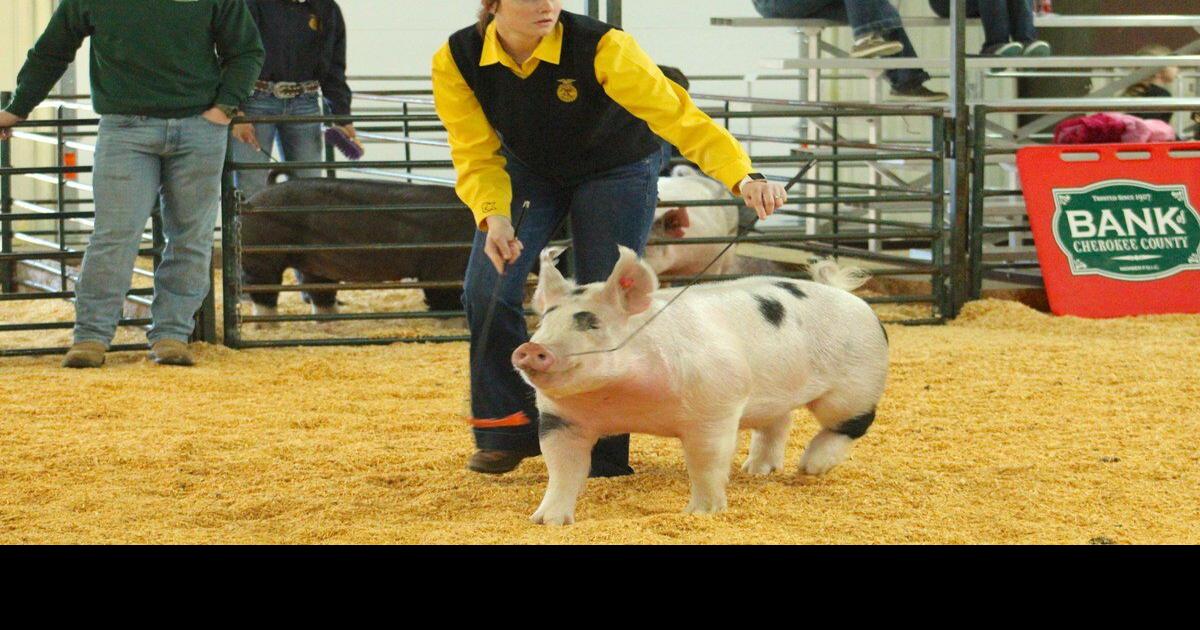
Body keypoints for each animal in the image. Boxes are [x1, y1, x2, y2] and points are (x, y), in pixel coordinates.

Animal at [238, 178, 477, 318]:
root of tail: (249, 202)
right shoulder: (441, 267)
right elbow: (445, 298)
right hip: (263, 260)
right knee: (263, 292)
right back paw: (268, 325)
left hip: (314, 264)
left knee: (319, 292)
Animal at [512, 245, 889, 525]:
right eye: (544, 321)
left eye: (590, 322)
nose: (531, 348)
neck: (624, 401)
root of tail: (849, 296)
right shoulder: (560, 420)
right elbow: (563, 468)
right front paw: (545, 521)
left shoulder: (715, 406)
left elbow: (705, 461)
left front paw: (701, 513)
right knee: (779, 421)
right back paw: (756, 471)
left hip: (854, 382)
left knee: (853, 421)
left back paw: (810, 467)